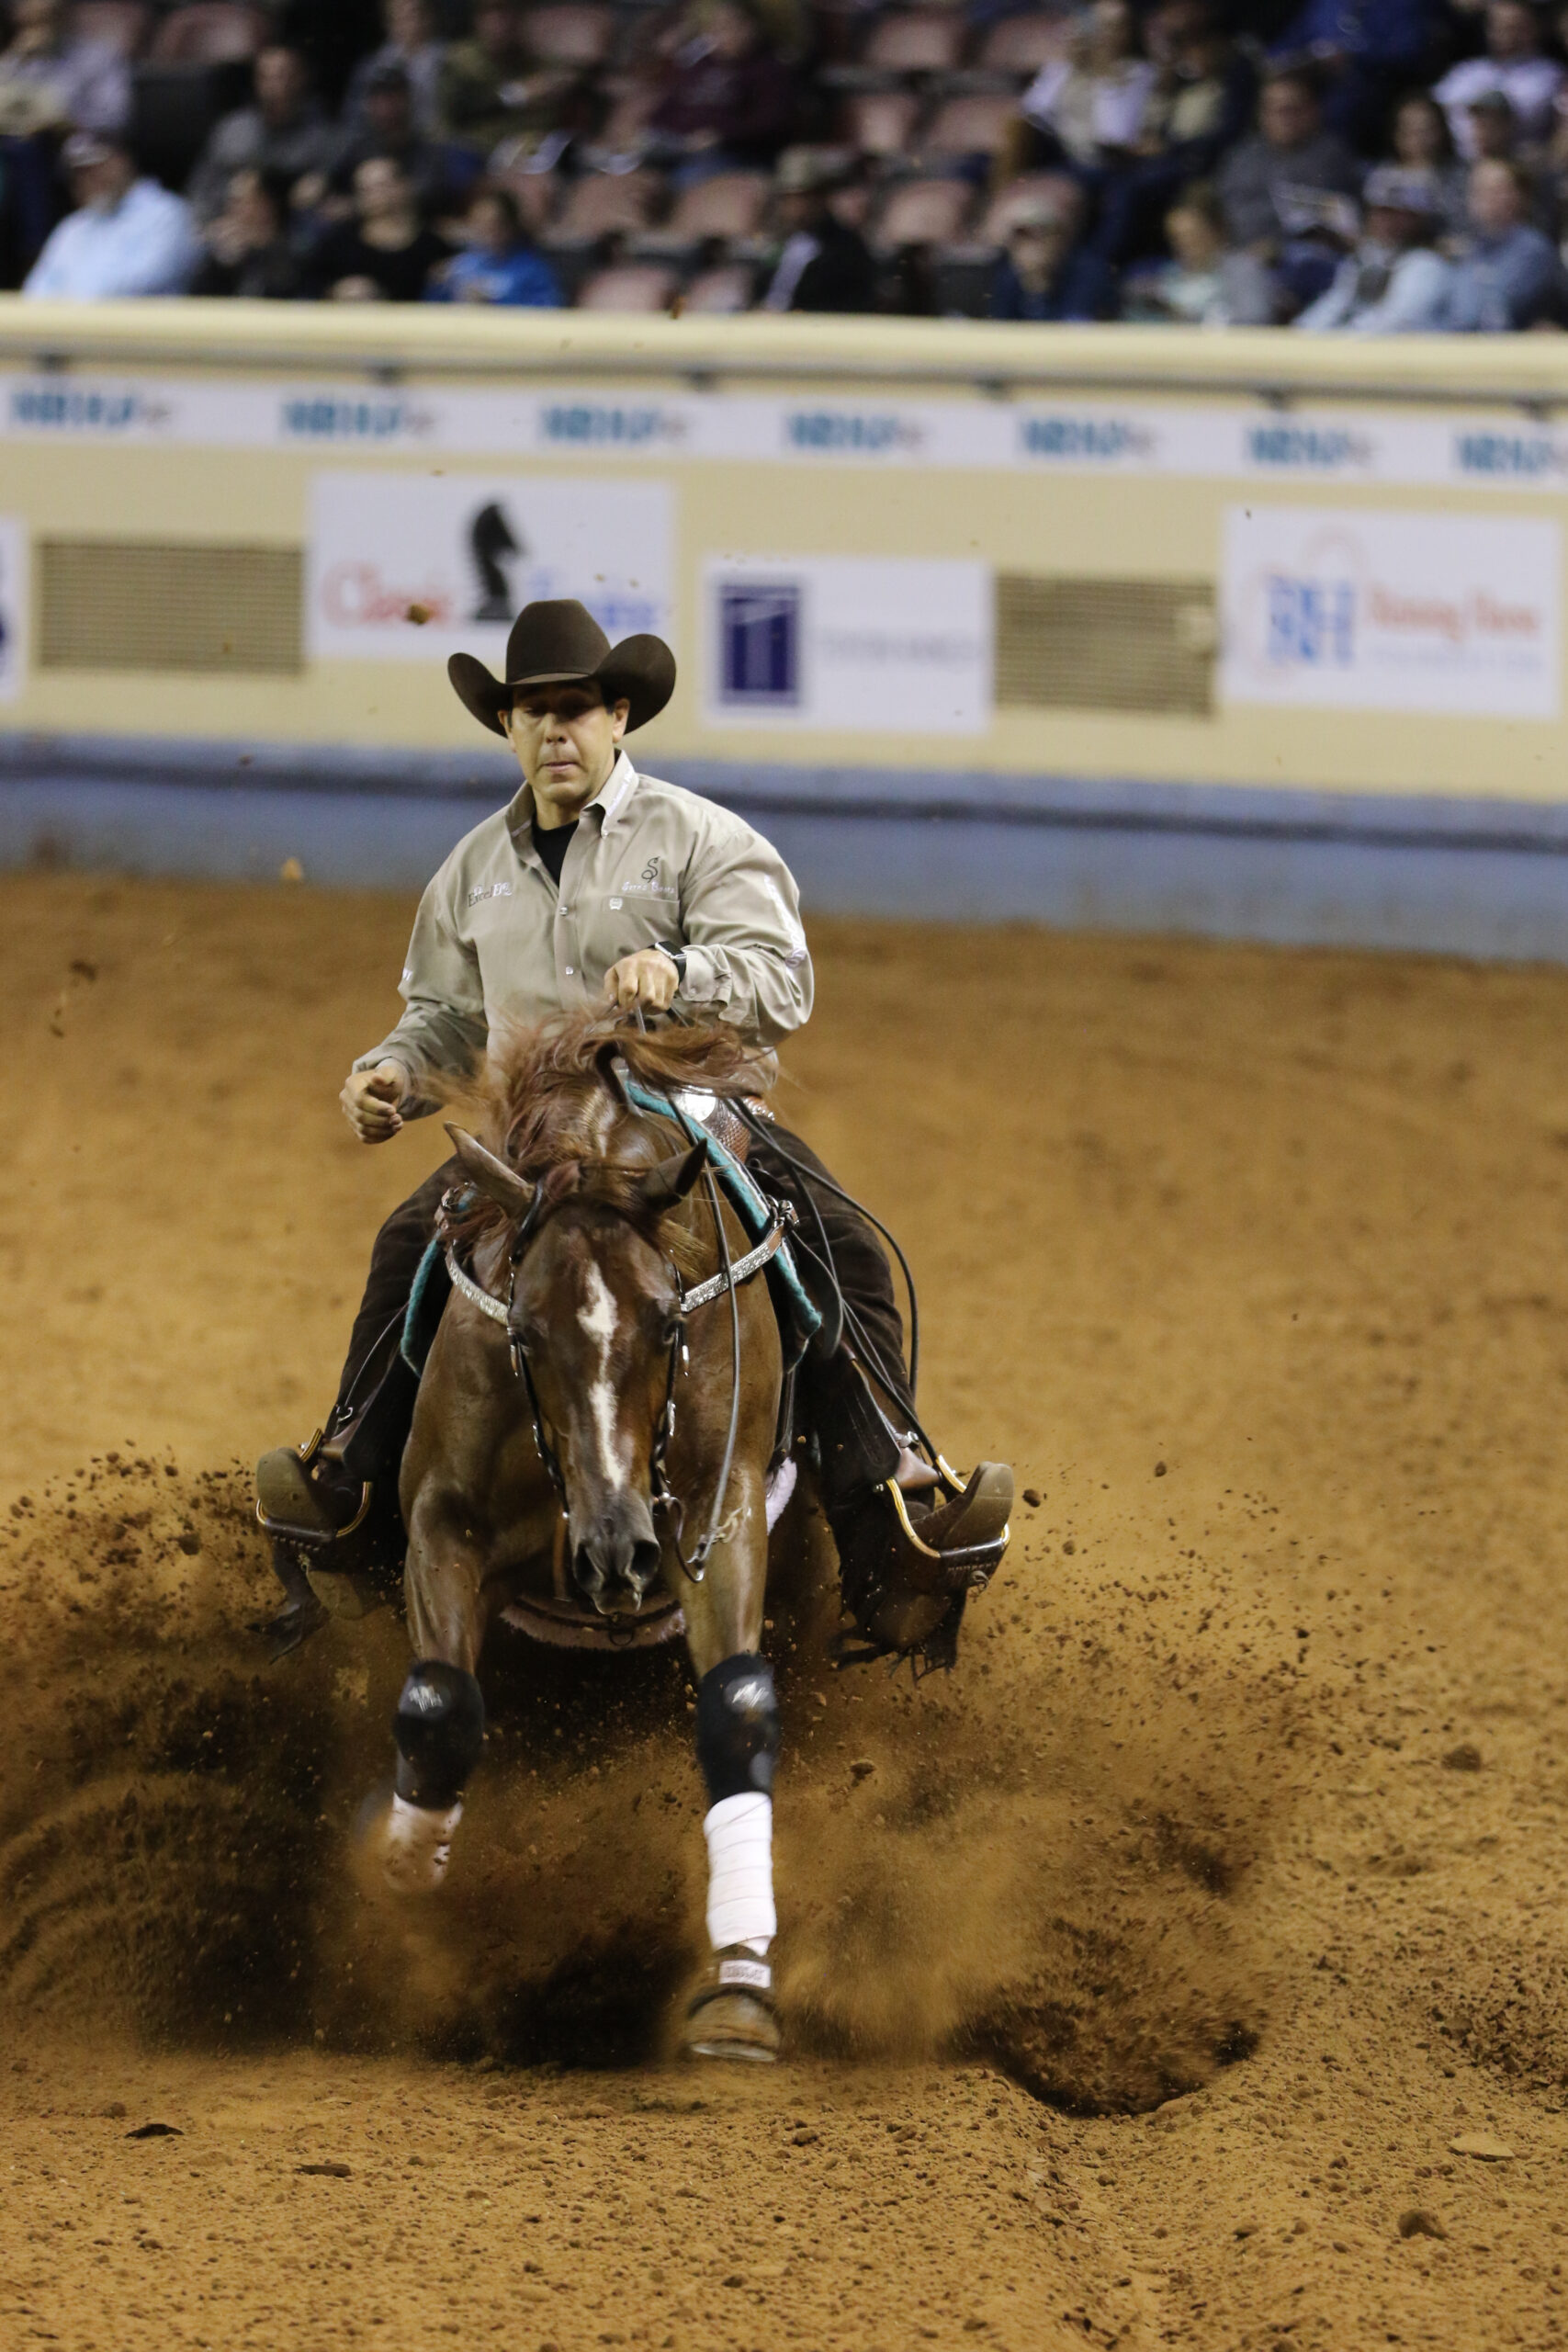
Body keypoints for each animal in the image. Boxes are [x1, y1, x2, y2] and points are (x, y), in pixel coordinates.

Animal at [356, 1009, 815, 2061]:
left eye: (668, 1322)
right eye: (524, 1331)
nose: (616, 1552)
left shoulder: (721, 1517)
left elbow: (736, 1706)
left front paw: (740, 1989)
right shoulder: (440, 1520)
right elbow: (439, 1706)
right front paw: (399, 1933)